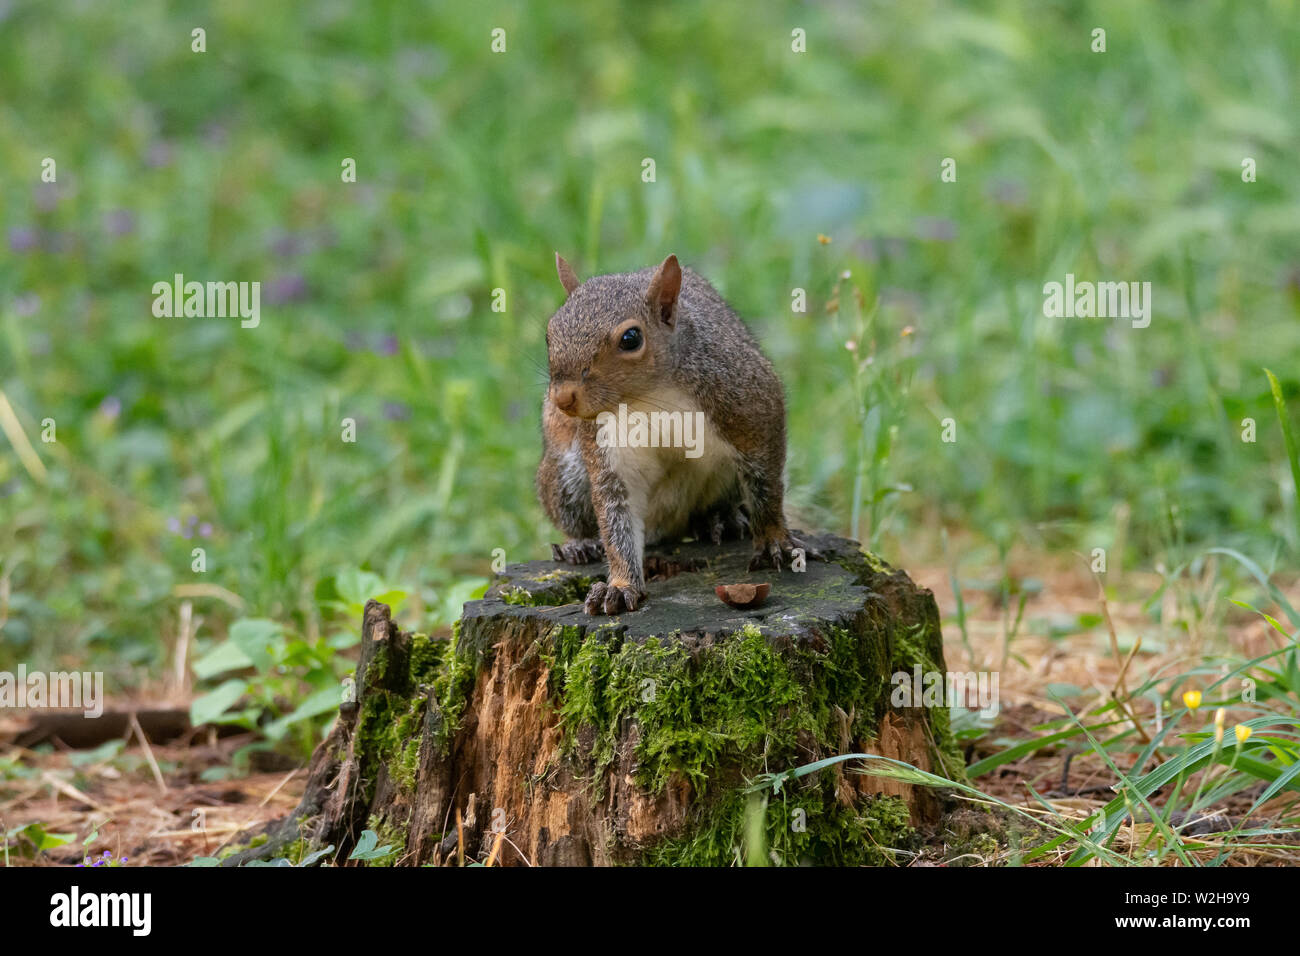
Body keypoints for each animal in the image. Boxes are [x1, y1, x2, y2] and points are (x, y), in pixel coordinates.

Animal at [536, 252, 820, 615]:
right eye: (549, 333)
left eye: (631, 338)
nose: (562, 399)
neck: (647, 396)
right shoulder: (605, 444)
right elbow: (616, 516)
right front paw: (619, 586)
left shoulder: (749, 402)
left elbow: (766, 484)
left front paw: (774, 541)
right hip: (566, 474)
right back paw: (581, 544)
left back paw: (721, 519)